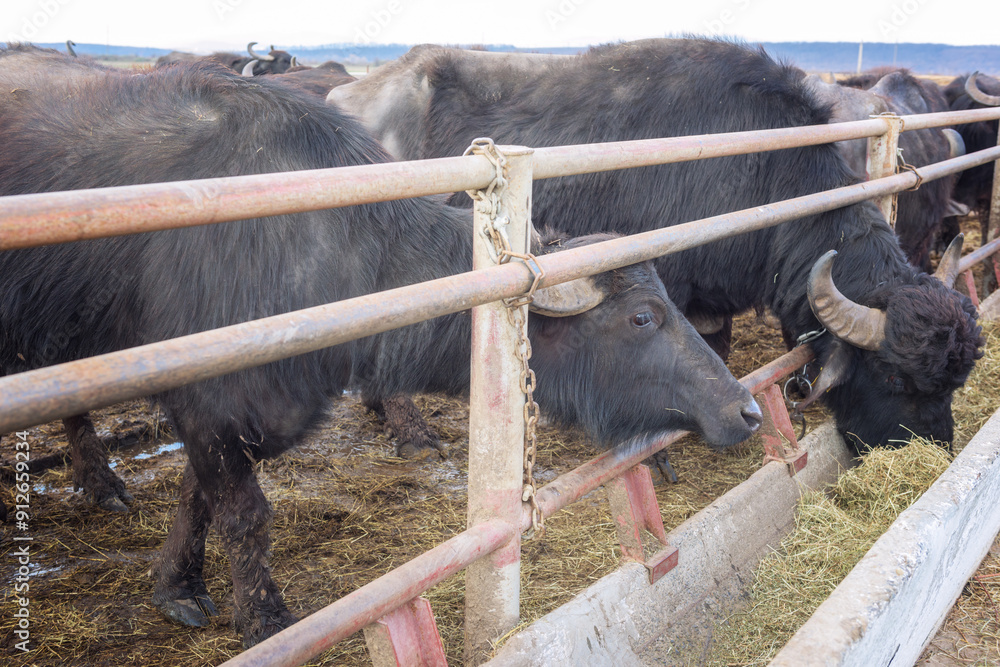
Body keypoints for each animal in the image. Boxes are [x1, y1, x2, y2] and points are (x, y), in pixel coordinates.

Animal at [0, 44, 762, 647]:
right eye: (642, 318)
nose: (747, 409)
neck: (335, 250)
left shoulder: (242, 412)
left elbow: (197, 497)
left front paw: (177, 586)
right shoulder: (208, 397)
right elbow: (244, 514)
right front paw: (266, 620)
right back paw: (100, 481)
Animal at [330, 38, 984, 458]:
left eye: (954, 381)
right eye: (896, 377)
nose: (931, 449)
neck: (756, 165)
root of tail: (348, 96)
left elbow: (713, 349)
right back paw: (413, 435)